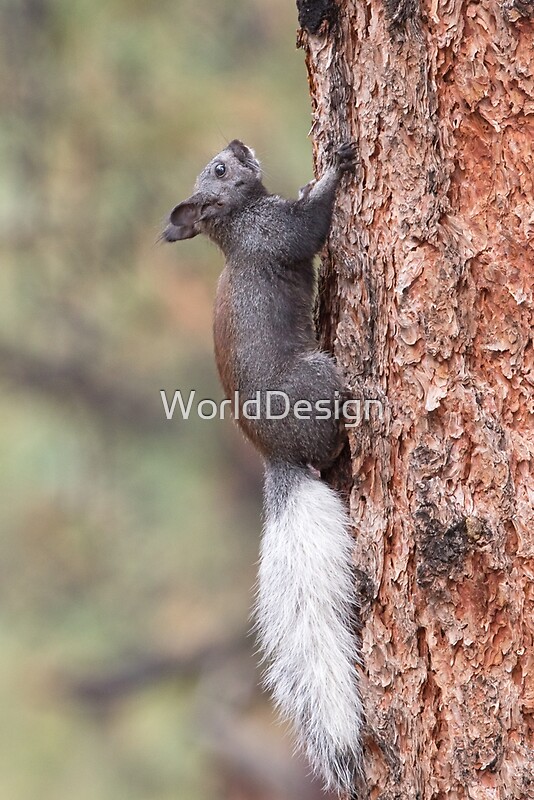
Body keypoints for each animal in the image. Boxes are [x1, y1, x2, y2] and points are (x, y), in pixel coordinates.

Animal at [162, 139, 363, 795]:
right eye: (221, 171)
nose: (235, 144)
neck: (234, 225)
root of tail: (279, 458)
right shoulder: (273, 235)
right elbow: (309, 227)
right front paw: (335, 166)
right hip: (316, 380)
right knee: (329, 444)